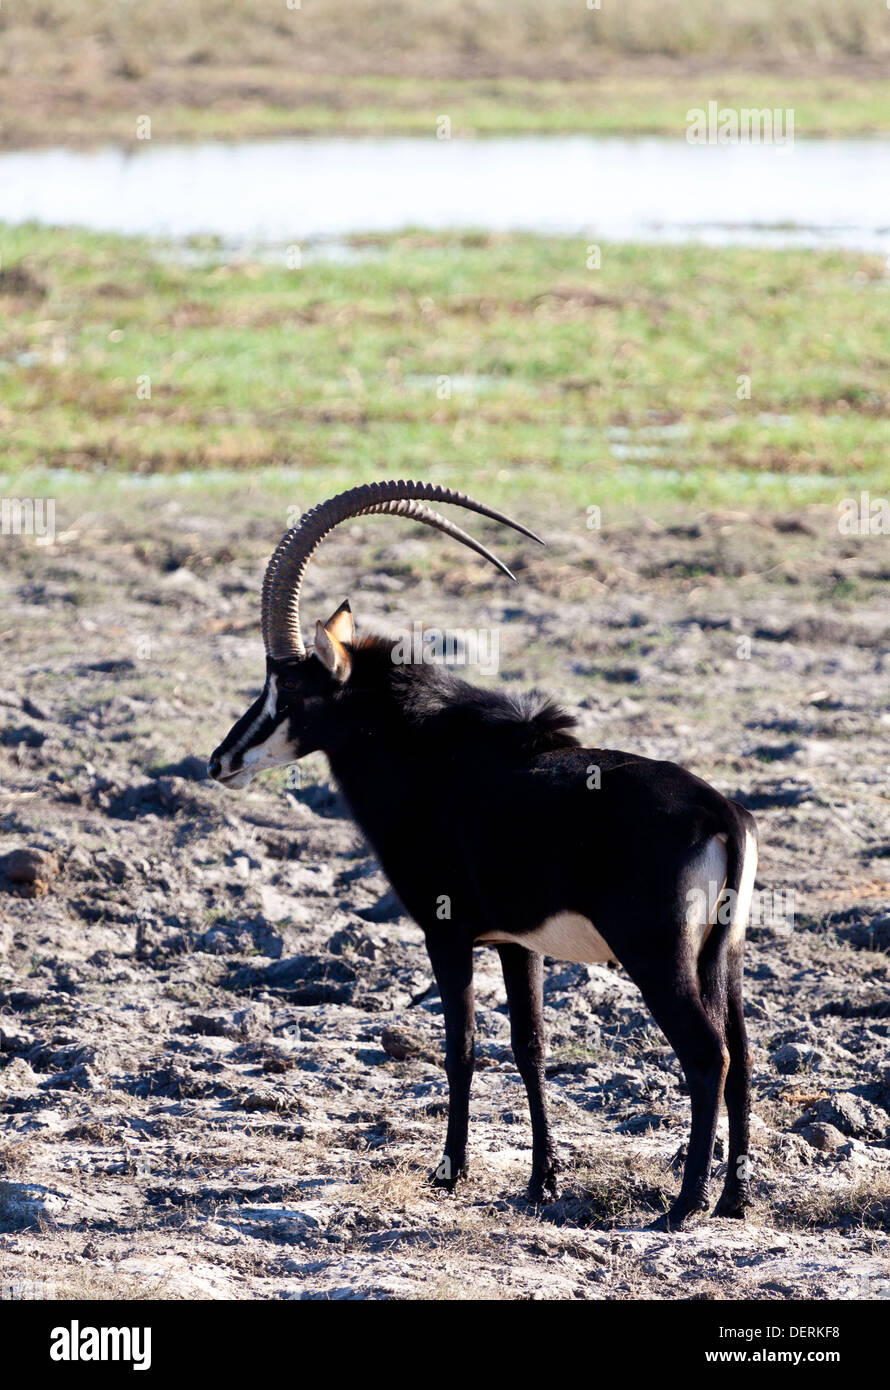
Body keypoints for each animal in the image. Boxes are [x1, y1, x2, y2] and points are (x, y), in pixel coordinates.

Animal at [208, 480, 758, 1230]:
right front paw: (542, 1181)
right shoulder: (517, 942)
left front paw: (450, 1171)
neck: (431, 757)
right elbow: (530, 1047)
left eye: (287, 691)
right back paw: (733, 1199)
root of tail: (721, 813)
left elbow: (461, 1047)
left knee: (708, 1057)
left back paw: (684, 1206)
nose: (221, 761)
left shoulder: (447, 932)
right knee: (743, 1058)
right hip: (720, 955)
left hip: (657, 955)